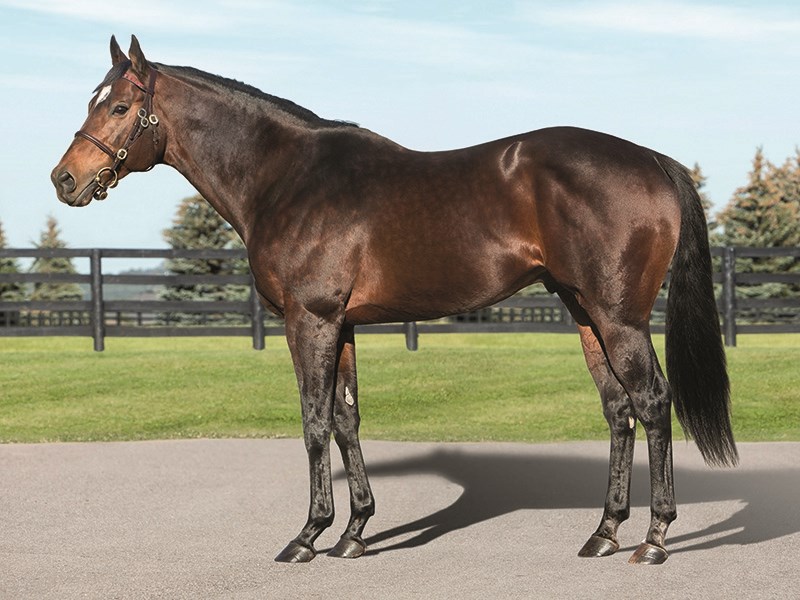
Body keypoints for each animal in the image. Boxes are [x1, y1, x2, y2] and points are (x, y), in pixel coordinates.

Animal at [51, 35, 737, 565]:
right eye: (92, 101)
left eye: (118, 105)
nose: (64, 180)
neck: (288, 178)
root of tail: (651, 159)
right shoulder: (342, 324)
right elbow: (347, 419)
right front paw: (354, 533)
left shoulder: (309, 320)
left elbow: (313, 421)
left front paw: (307, 537)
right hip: (583, 311)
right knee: (618, 408)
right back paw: (604, 533)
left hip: (619, 317)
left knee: (652, 401)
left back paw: (655, 538)